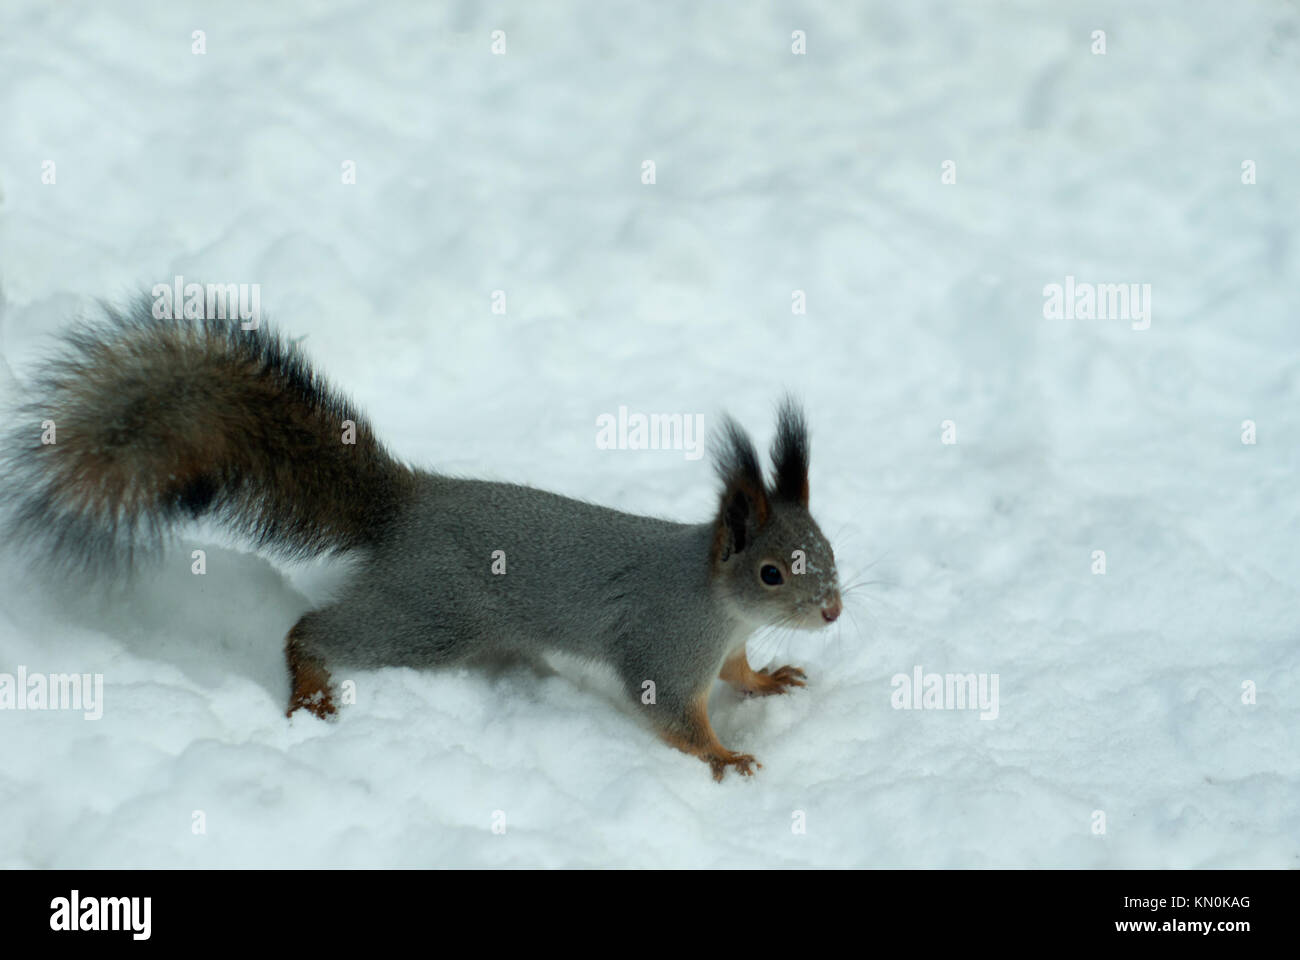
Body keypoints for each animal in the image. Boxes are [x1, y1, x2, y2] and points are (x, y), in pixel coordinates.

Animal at [1, 296, 843, 780]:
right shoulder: (662, 649)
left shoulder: (720, 646)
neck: (716, 604)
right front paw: (727, 755)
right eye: (772, 573)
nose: (833, 611)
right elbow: (674, 716)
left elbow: (738, 673)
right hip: (432, 615)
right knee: (315, 629)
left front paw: (768, 679)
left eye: (830, 549)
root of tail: (409, 508)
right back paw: (312, 687)